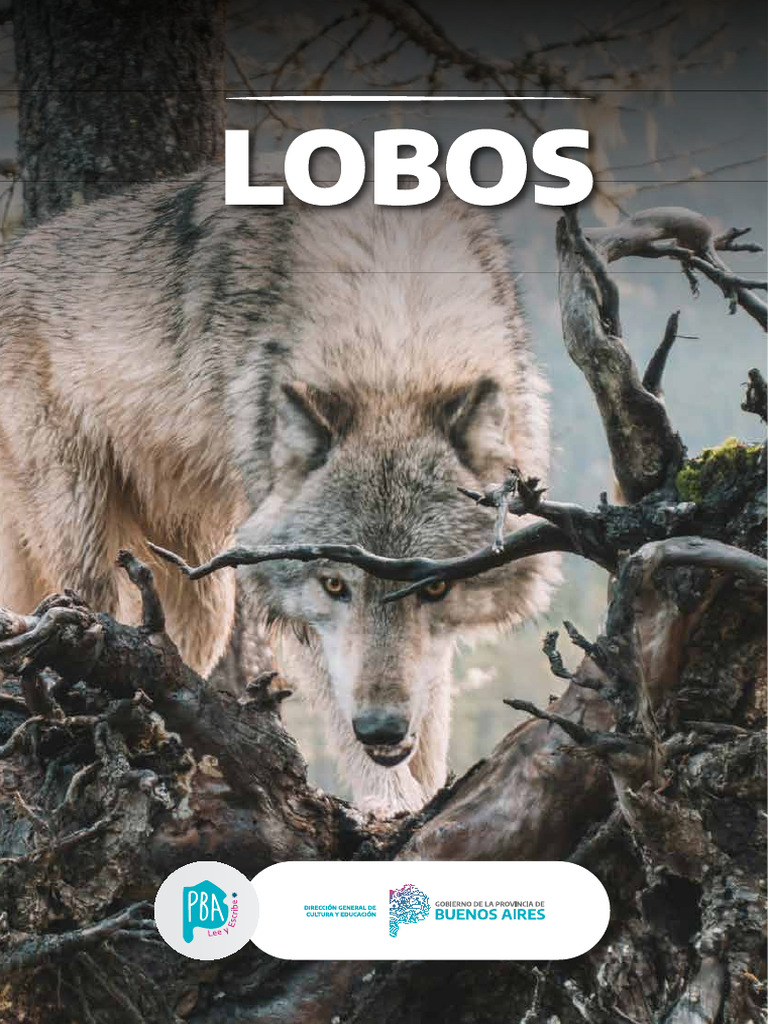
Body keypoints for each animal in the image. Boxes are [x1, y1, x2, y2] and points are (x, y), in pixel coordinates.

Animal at [0, 168, 558, 814]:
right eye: (335, 585)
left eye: (435, 587)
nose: (382, 730)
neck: (394, 340)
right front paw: (389, 805)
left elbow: (433, 700)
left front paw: (429, 793)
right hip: (89, 551)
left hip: (200, 591)